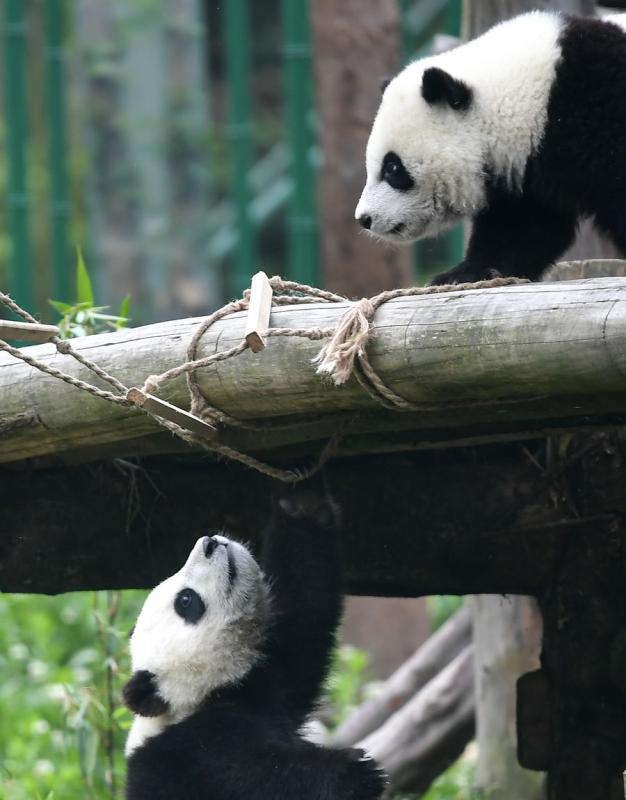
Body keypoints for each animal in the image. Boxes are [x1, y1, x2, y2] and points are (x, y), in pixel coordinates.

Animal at [122, 488, 387, 800]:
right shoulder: (193, 753)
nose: (209, 543)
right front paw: (354, 772)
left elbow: (304, 609)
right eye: (185, 600)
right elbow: (262, 777)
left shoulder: (271, 680)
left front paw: (303, 502)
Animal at [355, 11, 626, 285]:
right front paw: (464, 274)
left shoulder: (598, 110)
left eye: (392, 168)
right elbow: (525, 227)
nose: (365, 219)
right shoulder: (526, 168)